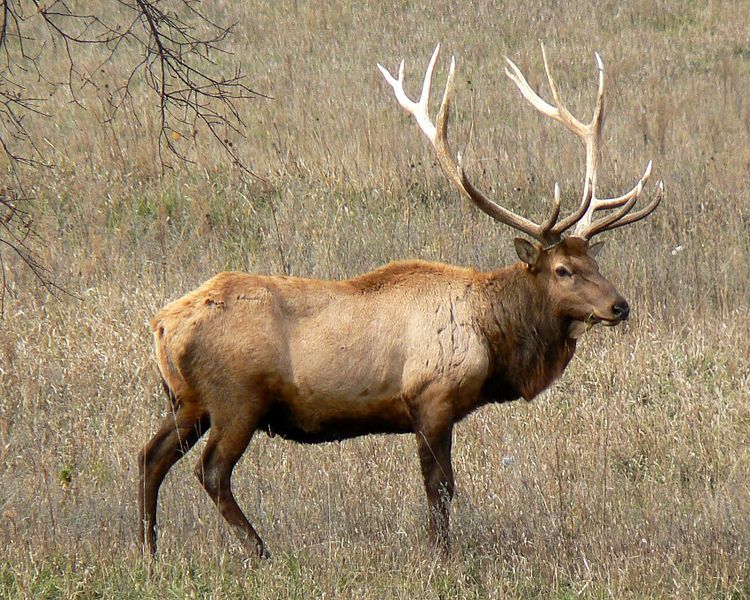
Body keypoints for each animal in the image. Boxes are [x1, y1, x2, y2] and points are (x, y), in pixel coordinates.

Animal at [138, 44, 662, 559]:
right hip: (236, 398)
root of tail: (162, 325)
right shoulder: (431, 399)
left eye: (594, 260)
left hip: (188, 401)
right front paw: (441, 555)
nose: (620, 306)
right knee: (210, 470)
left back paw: (149, 549)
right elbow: (441, 488)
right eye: (562, 270)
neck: (493, 339)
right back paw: (260, 550)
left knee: (149, 456)